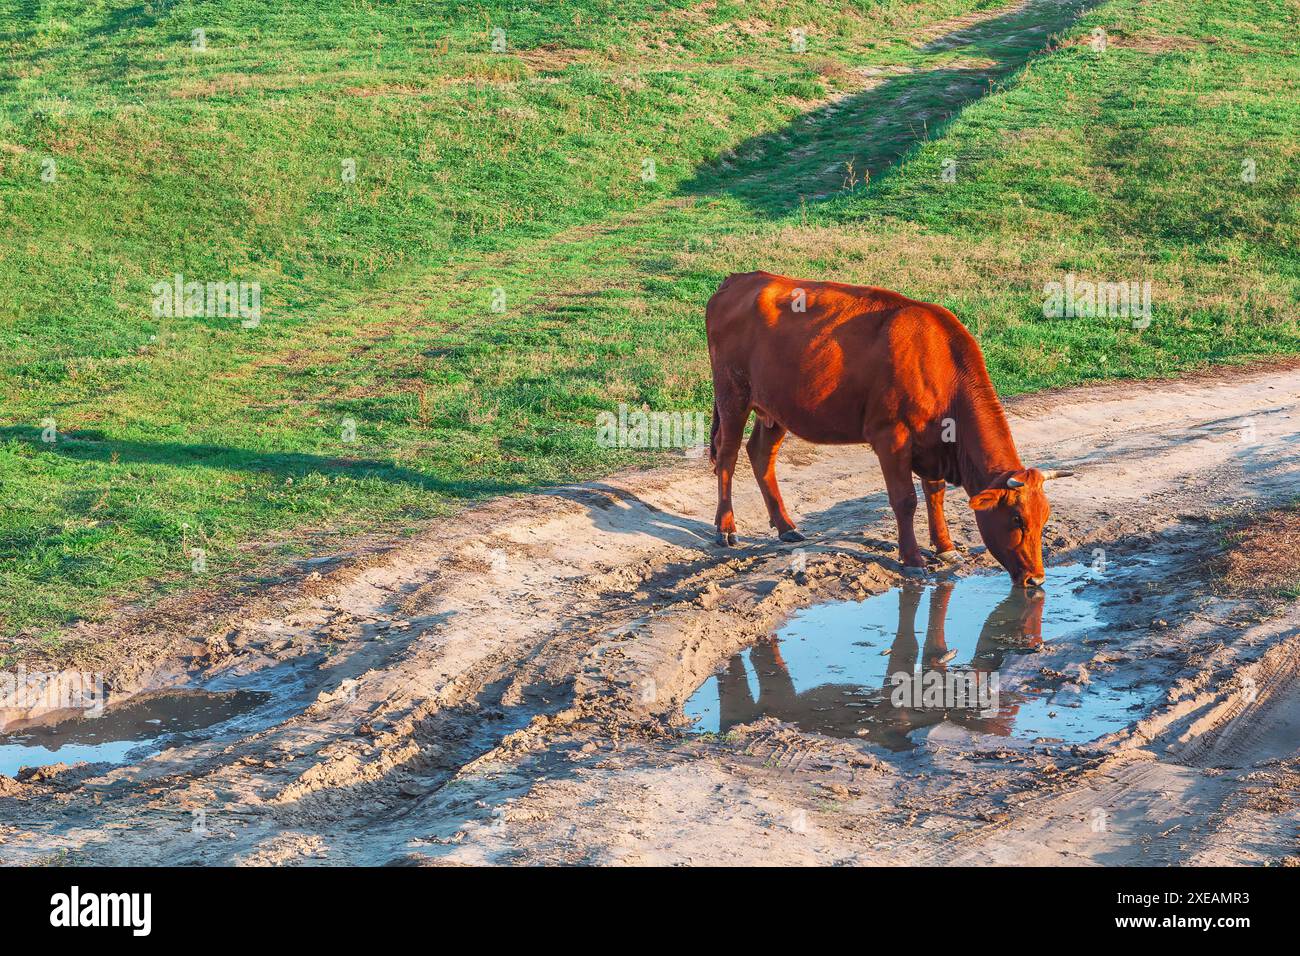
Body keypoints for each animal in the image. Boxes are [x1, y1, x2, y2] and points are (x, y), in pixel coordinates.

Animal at [705, 271, 1072, 587]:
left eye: (1045, 518)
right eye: (1016, 519)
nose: (1036, 579)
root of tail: (741, 278)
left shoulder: (934, 444)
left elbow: (935, 493)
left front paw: (945, 547)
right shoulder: (890, 436)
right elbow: (905, 499)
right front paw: (913, 559)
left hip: (776, 408)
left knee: (760, 453)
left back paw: (785, 526)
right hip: (732, 393)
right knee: (727, 455)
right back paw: (725, 527)